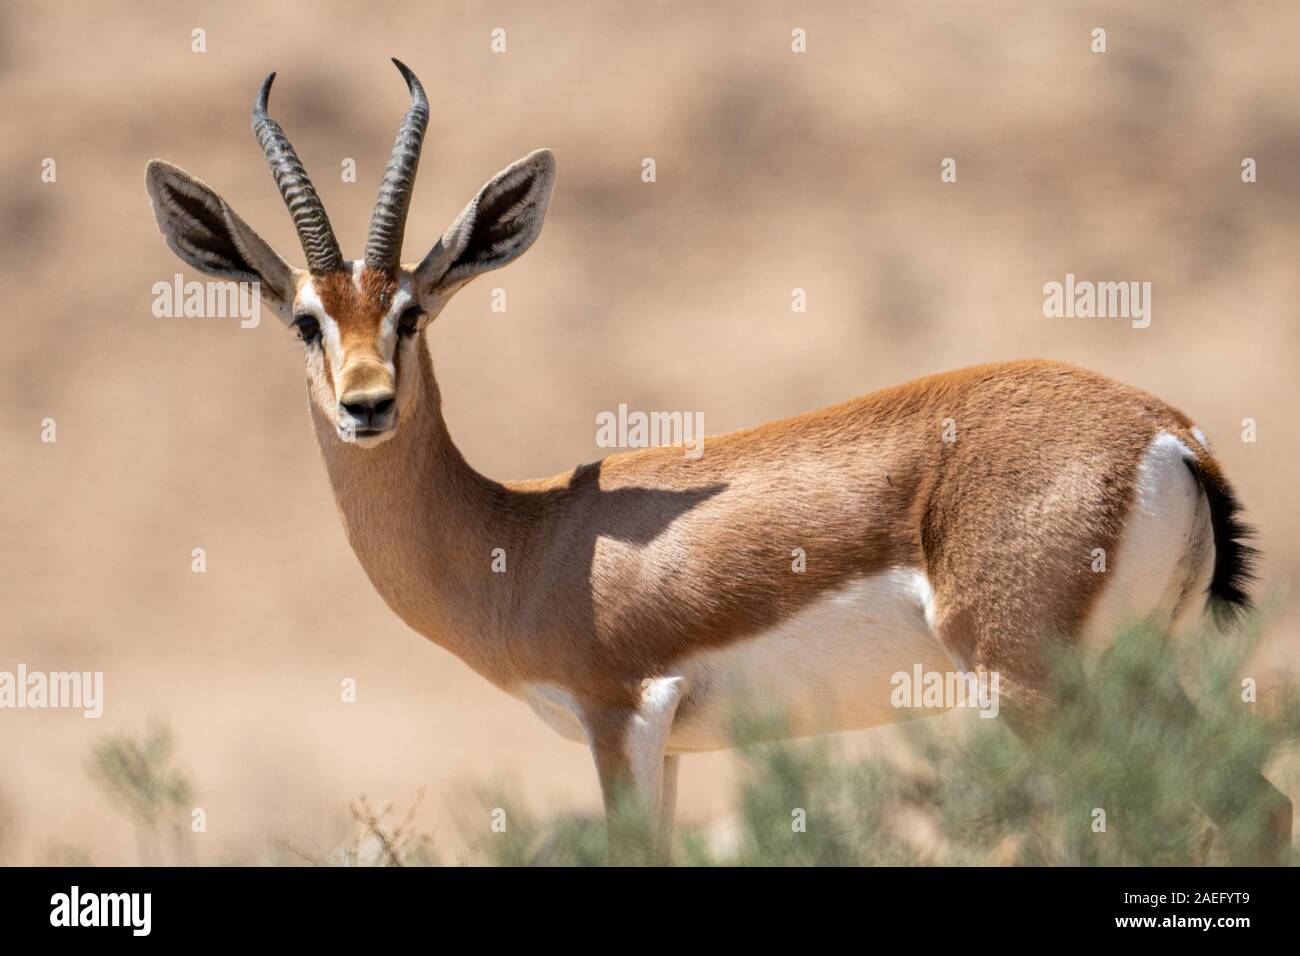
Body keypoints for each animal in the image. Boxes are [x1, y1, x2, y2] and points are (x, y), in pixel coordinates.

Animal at [146, 60, 1290, 861]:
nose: (367, 405)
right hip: (1136, 677)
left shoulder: (621, 718)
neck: (525, 542)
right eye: (305, 319)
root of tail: (1168, 430)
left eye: (411, 312)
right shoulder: (671, 750)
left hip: (1041, 689)